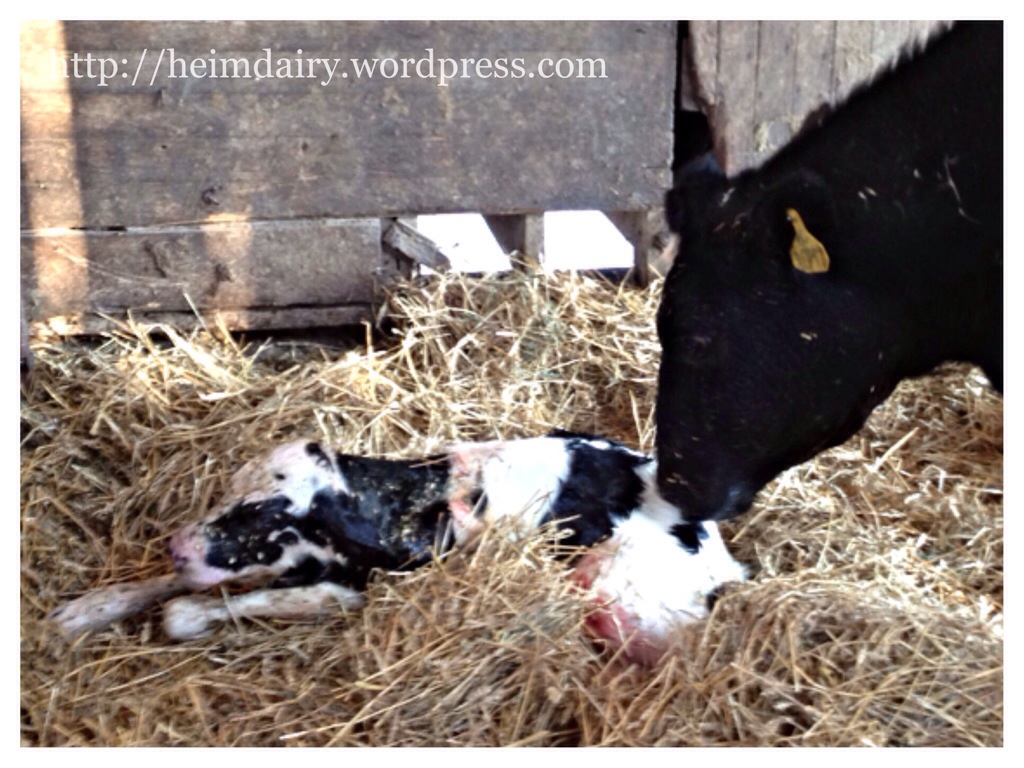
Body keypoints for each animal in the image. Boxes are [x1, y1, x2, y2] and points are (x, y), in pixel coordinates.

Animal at [52, 433, 747, 665]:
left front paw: (187, 616)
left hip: (615, 590)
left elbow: (212, 605)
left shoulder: (346, 588)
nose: (178, 545)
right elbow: (165, 586)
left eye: (269, 512)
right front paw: (81, 611)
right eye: (227, 494)